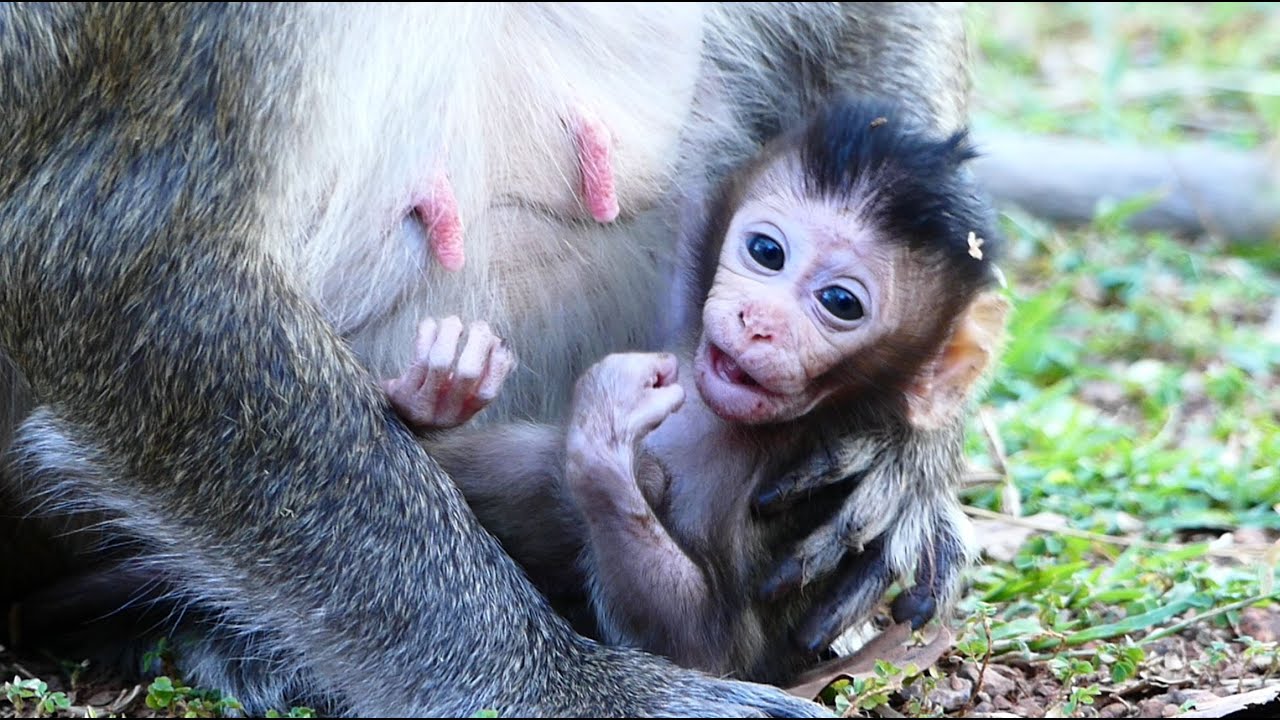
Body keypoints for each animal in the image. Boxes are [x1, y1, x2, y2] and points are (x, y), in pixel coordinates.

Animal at [385, 97, 1008, 684]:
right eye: (766, 252)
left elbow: (707, 651)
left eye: (841, 303)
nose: (758, 321)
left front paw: (607, 431)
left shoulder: (781, 497)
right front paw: (443, 387)